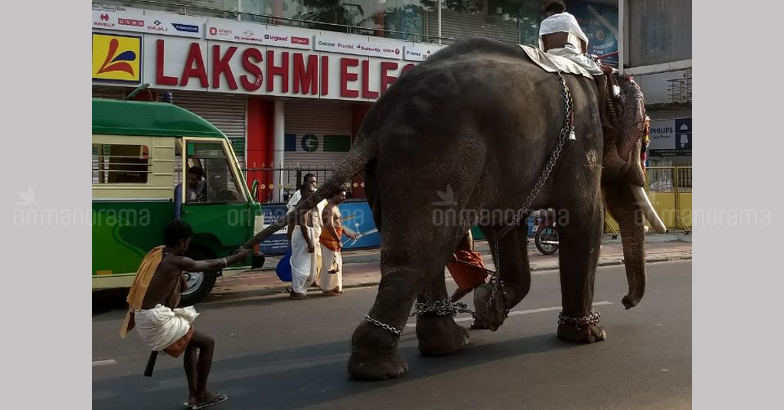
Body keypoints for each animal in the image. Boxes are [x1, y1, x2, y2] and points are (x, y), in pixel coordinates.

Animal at [246, 37, 666, 380]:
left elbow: (506, 224)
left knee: (427, 252)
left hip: (393, 172)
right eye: (646, 135)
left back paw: (445, 344)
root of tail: (376, 123)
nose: (627, 302)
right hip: (437, 158)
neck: (598, 76)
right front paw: (589, 334)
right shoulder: (581, 144)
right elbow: (582, 219)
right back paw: (382, 368)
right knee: (419, 254)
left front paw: (488, 309)